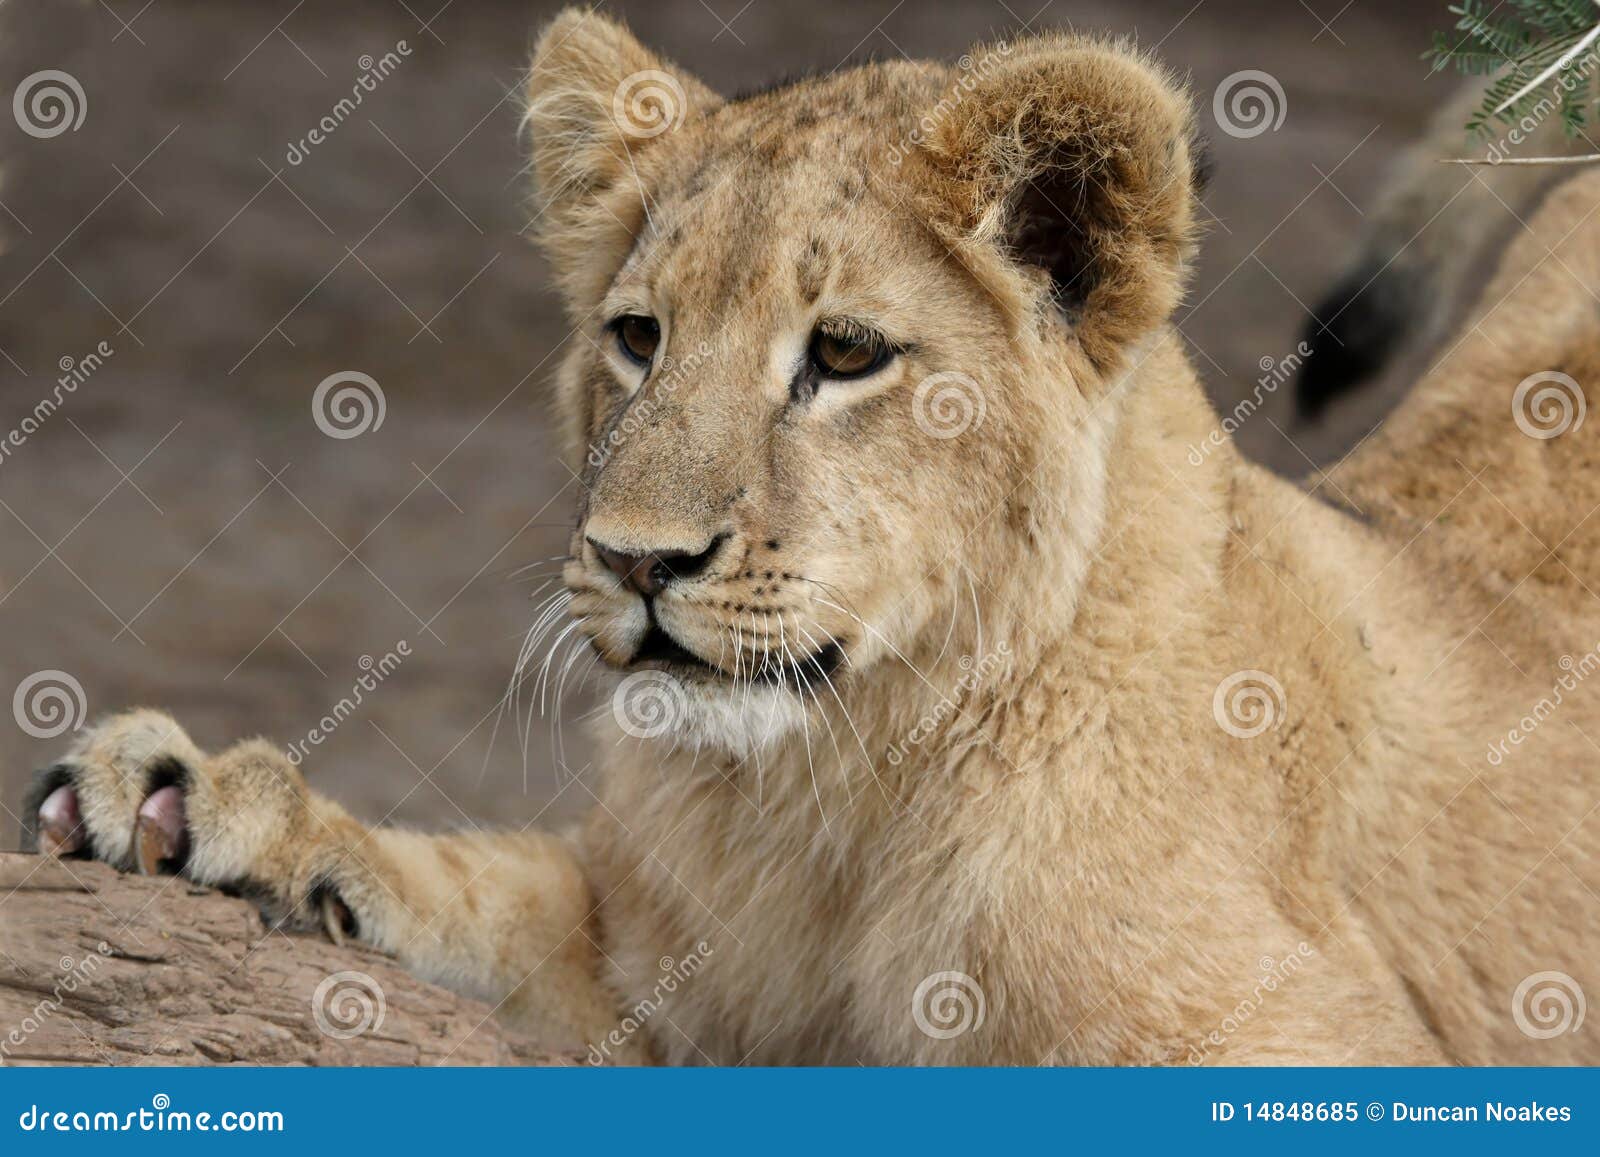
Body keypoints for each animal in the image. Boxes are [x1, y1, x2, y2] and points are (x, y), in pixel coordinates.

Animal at [22, 10, 1600, 1065]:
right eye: (638, 338)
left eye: (842, 355)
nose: (639, 559)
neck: (849, 782)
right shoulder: (651, 972)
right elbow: (482, 892)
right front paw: (184, 803)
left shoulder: (1316, 1041)